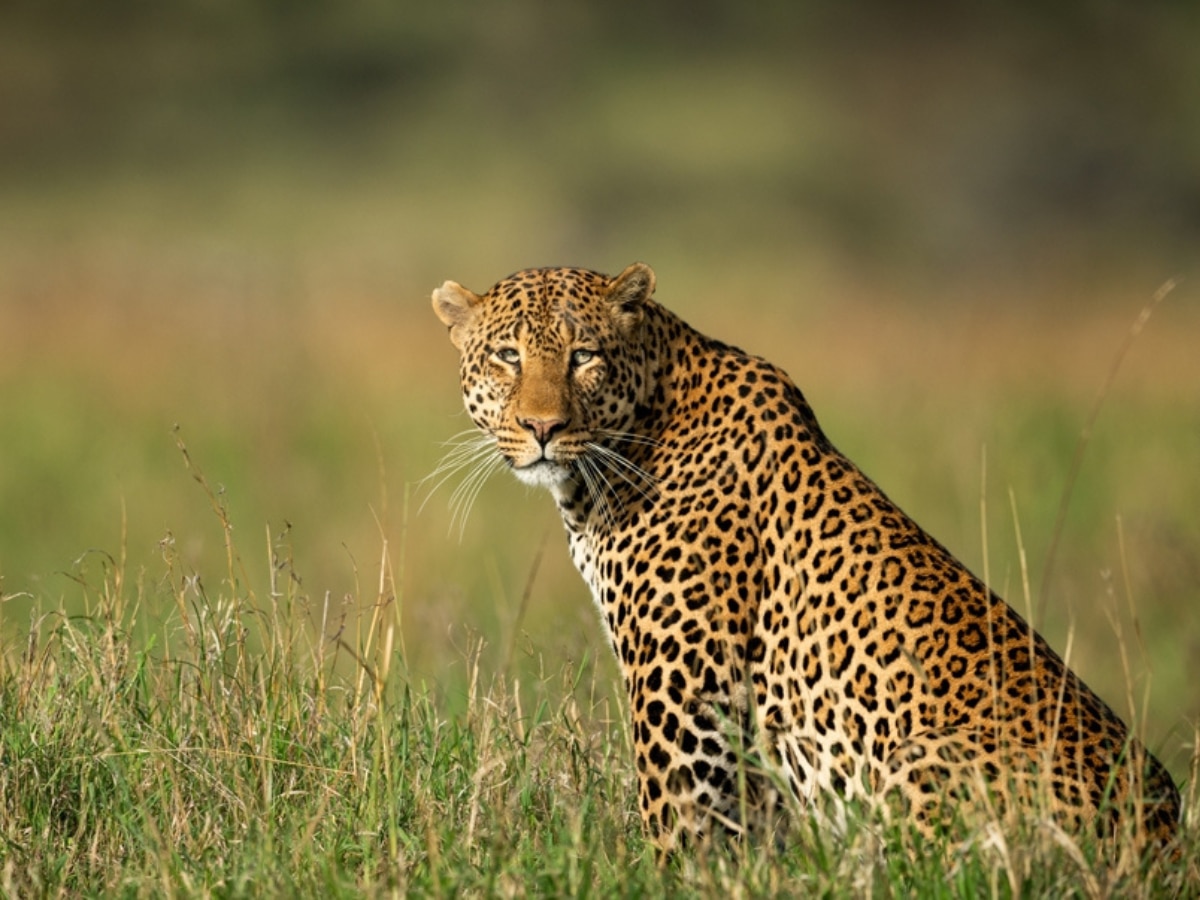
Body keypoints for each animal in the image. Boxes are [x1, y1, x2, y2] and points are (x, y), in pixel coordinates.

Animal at [430, 262, 1180, 852]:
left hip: (921, 759)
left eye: (584, 356)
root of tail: (1164, 840)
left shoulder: (684, 688)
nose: (543, 427)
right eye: (507, 355)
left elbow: (677, 825)